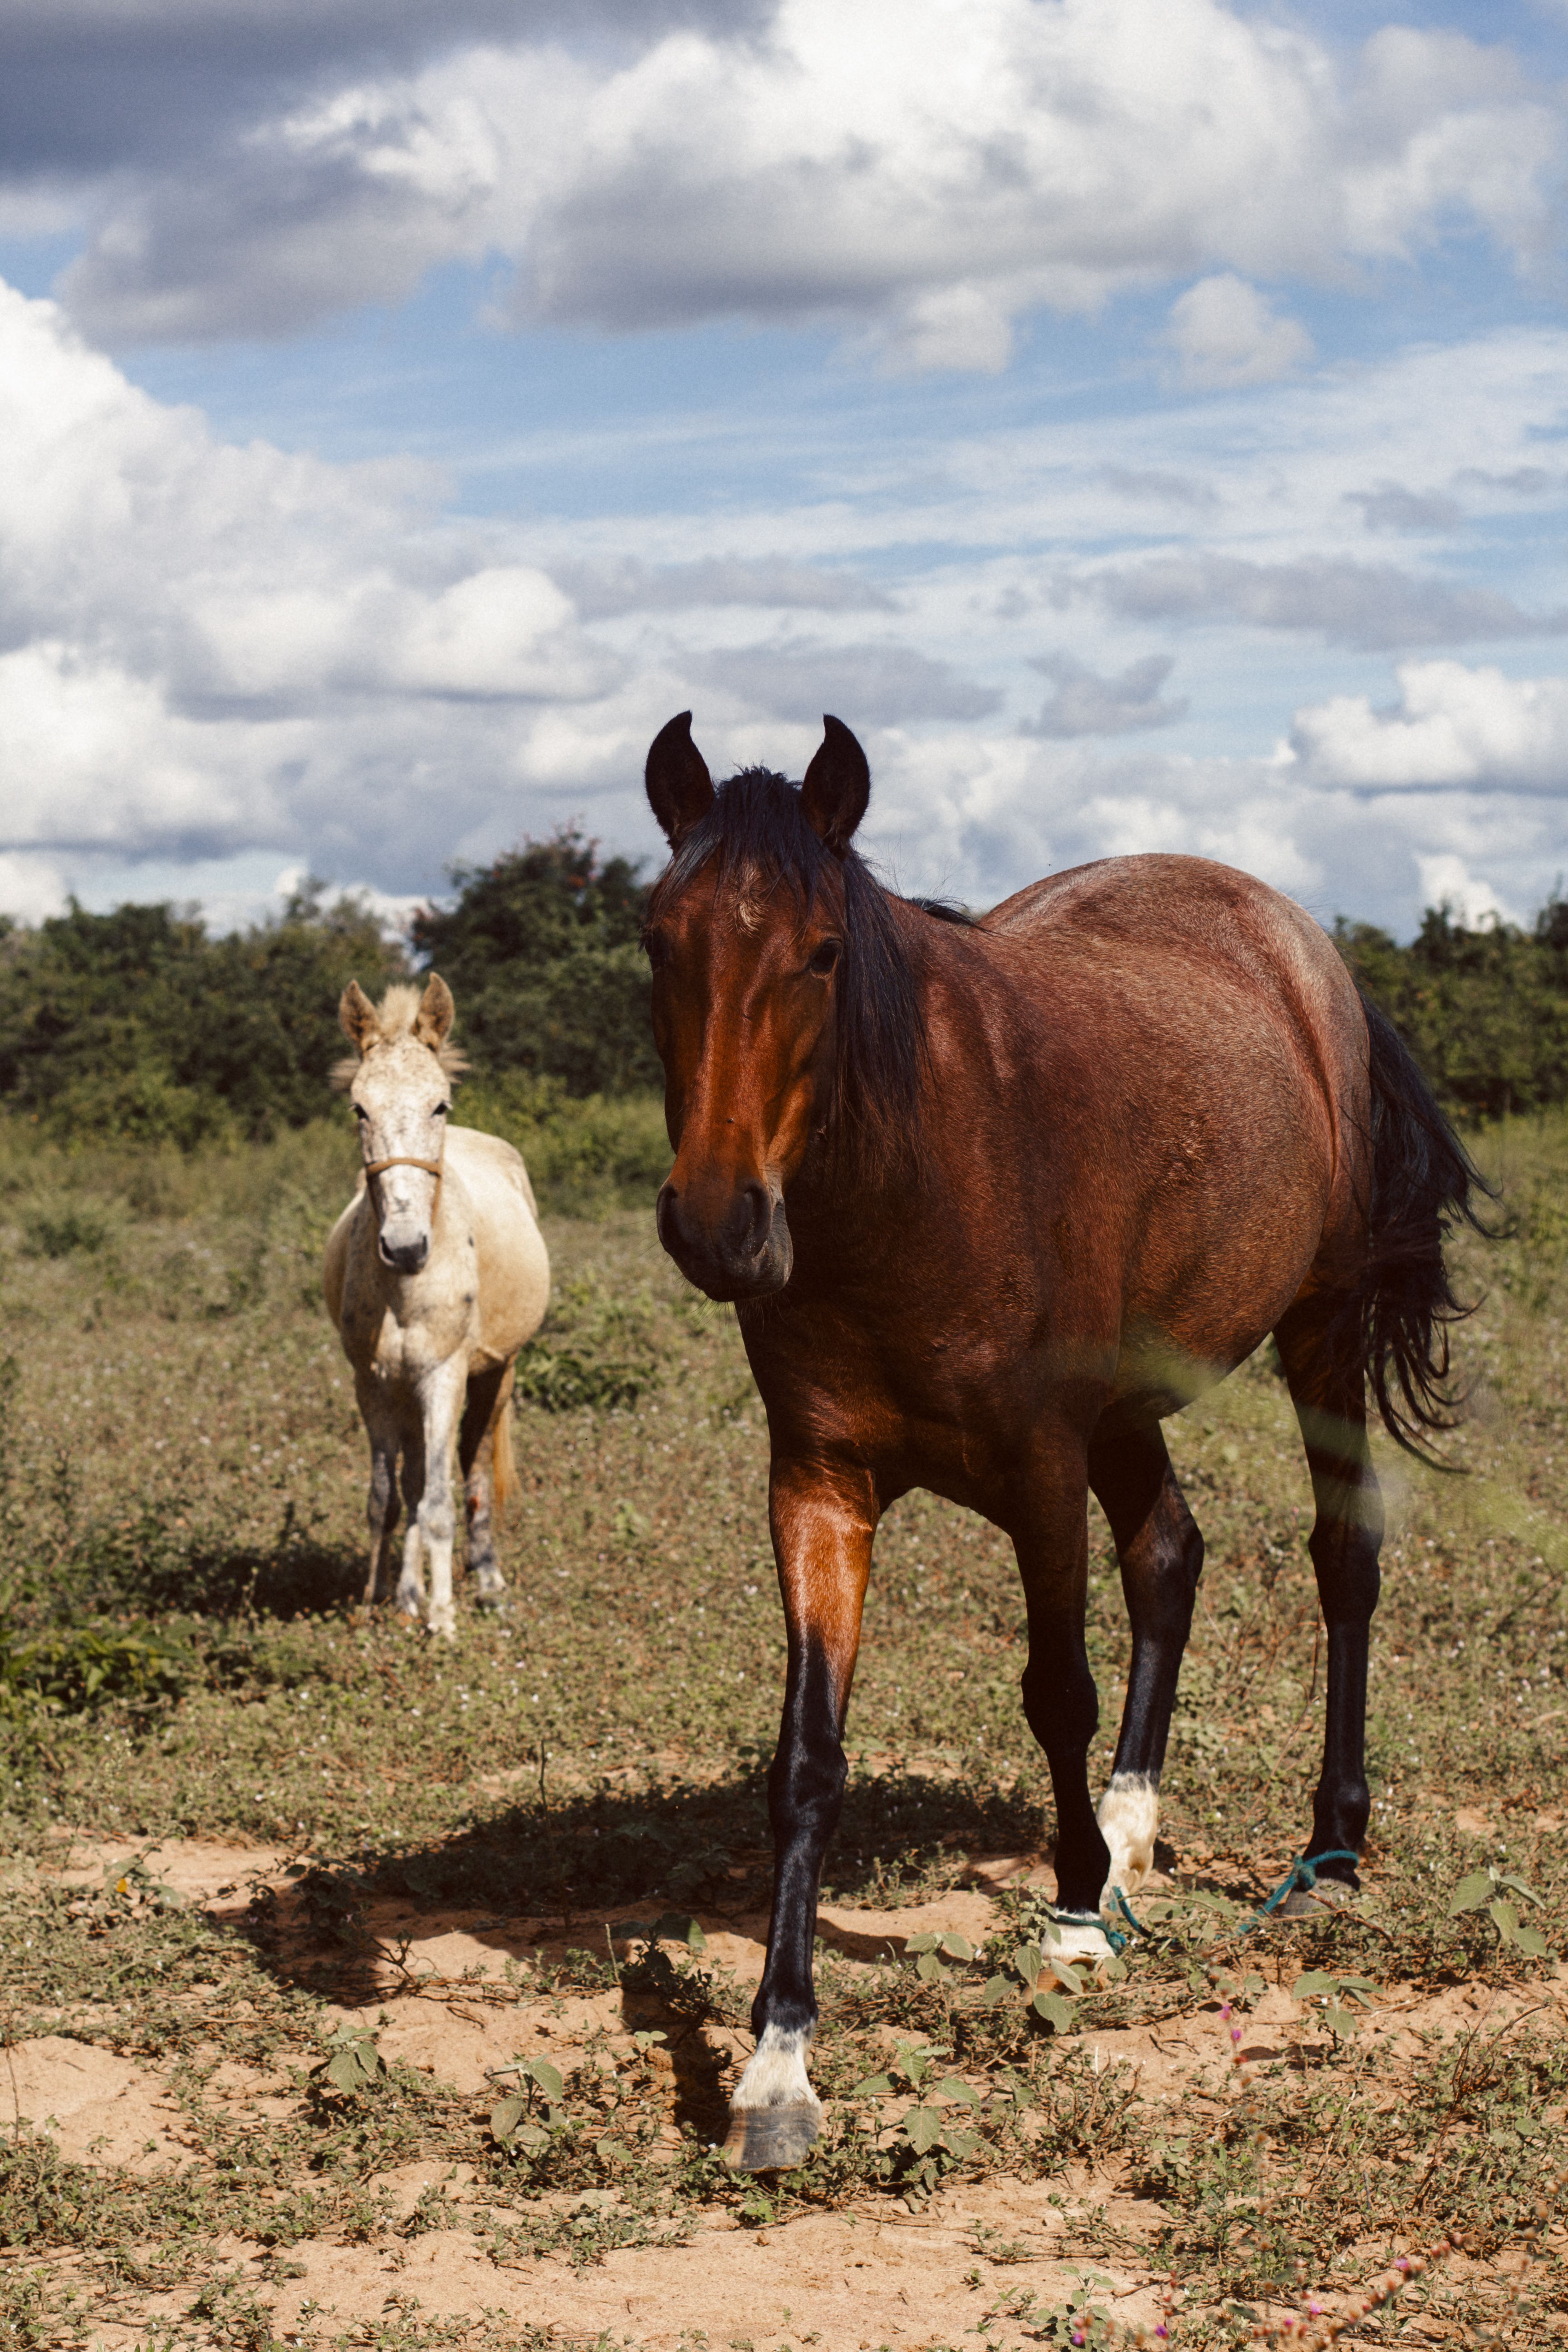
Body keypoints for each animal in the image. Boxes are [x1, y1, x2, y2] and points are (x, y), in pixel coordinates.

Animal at [323, 975, 550, 1641]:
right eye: (360, 1108)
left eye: (440, 1105)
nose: (405, 1247)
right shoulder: (374, 1385)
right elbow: (387, 1498)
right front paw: (374, 1600)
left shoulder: (445, 1378)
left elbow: (441, 1502)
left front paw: (444, 1620)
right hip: (408, 1392)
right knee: (416, 1479)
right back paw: (407, 1594)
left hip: (495, 1377)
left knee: (471, 1471)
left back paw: (487, 1582)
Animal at [640, 709, 1484, 2171]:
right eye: (658, 942)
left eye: (820, 952)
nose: (718, 1223)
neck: (915, 1182)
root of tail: (1303, 951)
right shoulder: (818, 1487)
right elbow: (806, 1759)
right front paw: (776, 2064)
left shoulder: (1037, 1468)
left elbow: (1055, 1693)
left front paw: (1078, 1914)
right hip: (1127, 1408)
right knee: (1170, 1556)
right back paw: (1136, 1824)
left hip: (1317, 1330)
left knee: (1342, 1558)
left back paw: (1325, 1851)